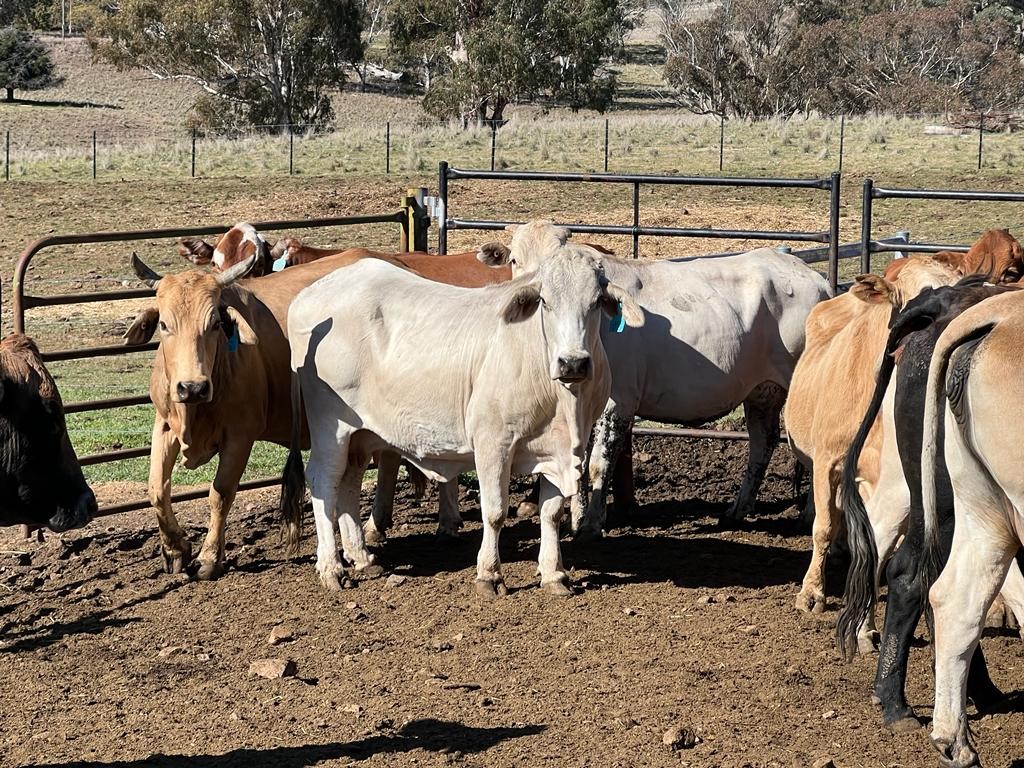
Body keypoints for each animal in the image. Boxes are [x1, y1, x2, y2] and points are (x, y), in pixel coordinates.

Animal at [278, 231, 644, 595]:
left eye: (595, 302)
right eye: (546, 302)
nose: (572, 363)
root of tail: (307, 297)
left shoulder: (557, 449)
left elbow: (551, 513)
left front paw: (554, 573)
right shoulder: (493, 441)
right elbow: (495, 511)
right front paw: (489, 574)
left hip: (362, 432)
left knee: (349, 481)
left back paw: (362, 557)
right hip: (330, 425)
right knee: (323, 479)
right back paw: (332, 567)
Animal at [478, 221, 832, 539]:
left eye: (592, 300)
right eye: (514, 260)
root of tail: (815, 278)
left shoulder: (617, 401)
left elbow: (599, 463)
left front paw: (591, 524)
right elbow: (577, 462)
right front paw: (576, 520)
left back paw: (808, 517)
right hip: (762, 390)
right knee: (763, 441)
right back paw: (736, 511)